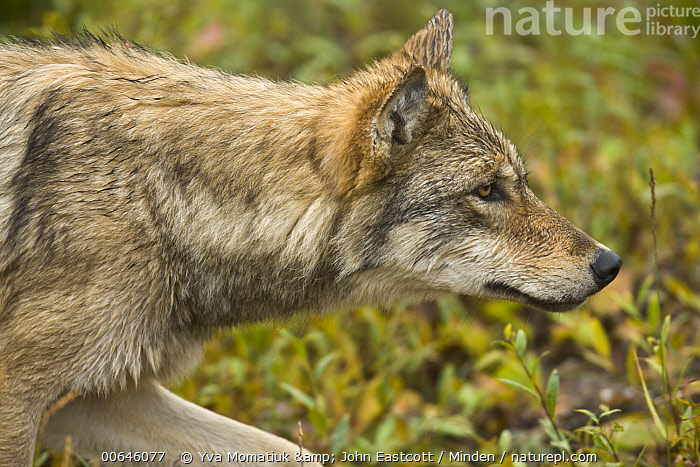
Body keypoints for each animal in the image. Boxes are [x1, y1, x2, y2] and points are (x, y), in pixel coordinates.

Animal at [0, 9, 620, 466]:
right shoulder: (20, 399)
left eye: (519, 183)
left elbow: (292, 450)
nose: (610, 265)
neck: (160, 200)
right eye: (488, 190)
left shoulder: (89, 403)